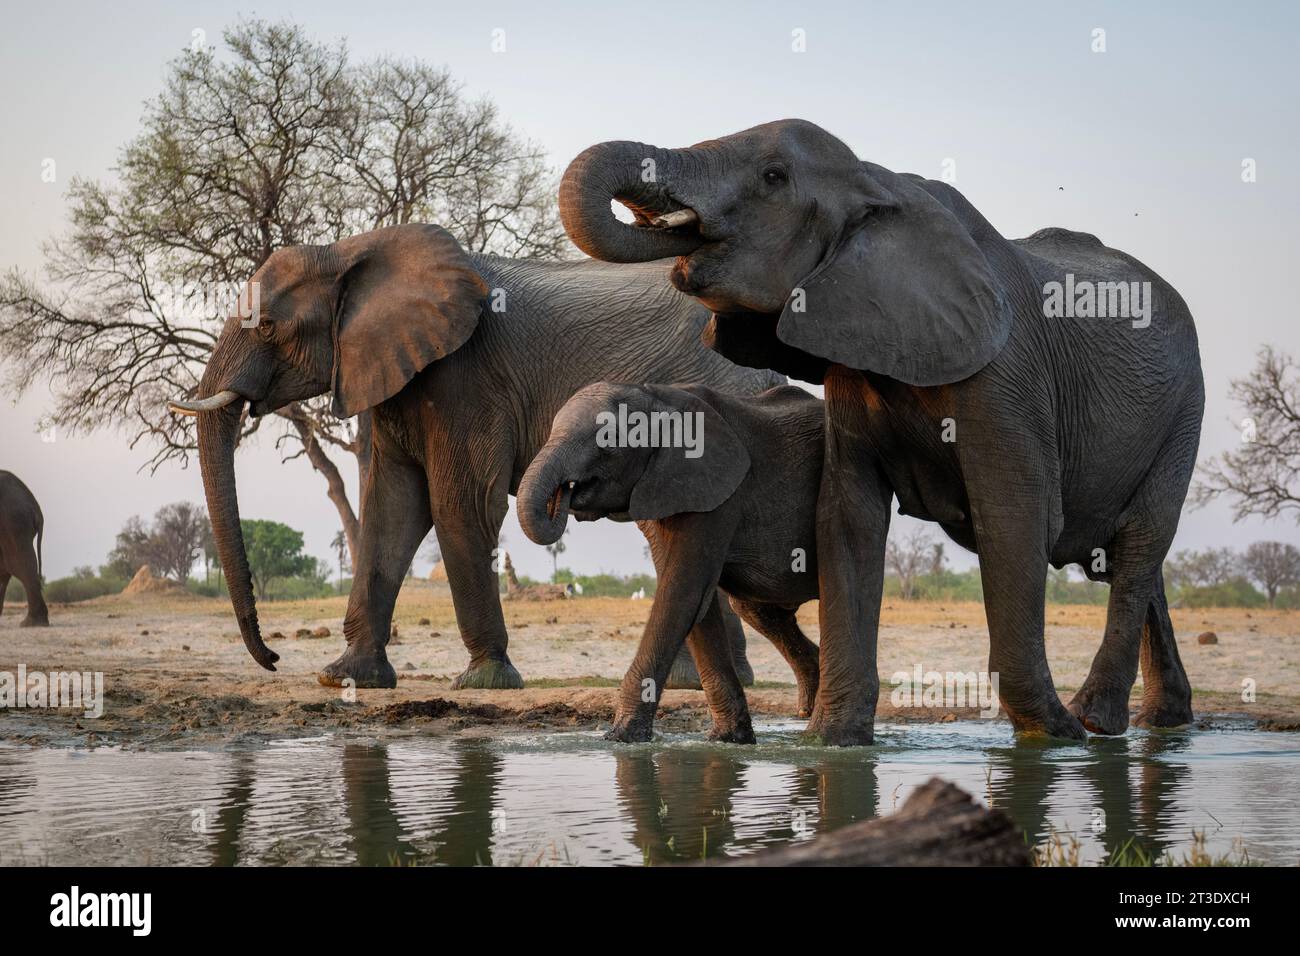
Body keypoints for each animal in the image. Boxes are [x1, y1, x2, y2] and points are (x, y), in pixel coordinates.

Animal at [169, 223, 782, 690]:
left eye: (269, 326)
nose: (272, 658)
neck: (350, 250)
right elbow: (391, 509)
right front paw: (346, 677)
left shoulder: (465, 375)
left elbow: (459, 504)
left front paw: (485, 681)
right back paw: (709, 681)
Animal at [518, 382, 823, 742]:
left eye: (608, 440)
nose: (566, 489)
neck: (659, 397)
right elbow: (695, 602)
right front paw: (729, 739)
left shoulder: (716, 491)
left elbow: (682, 592)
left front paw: (620, 738)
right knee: (754, 608)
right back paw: (809, 709)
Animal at [558, 119, 1201, 744]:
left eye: (774, 177)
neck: (875, 182)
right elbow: (848, 516)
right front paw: (834, 742)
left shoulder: (1007, 375)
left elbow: (1017, 516)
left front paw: (1054, 737)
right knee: (1129, 559)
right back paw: (1161, 720)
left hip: (1184, 414)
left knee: (1139, 542)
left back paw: (1095, 723)